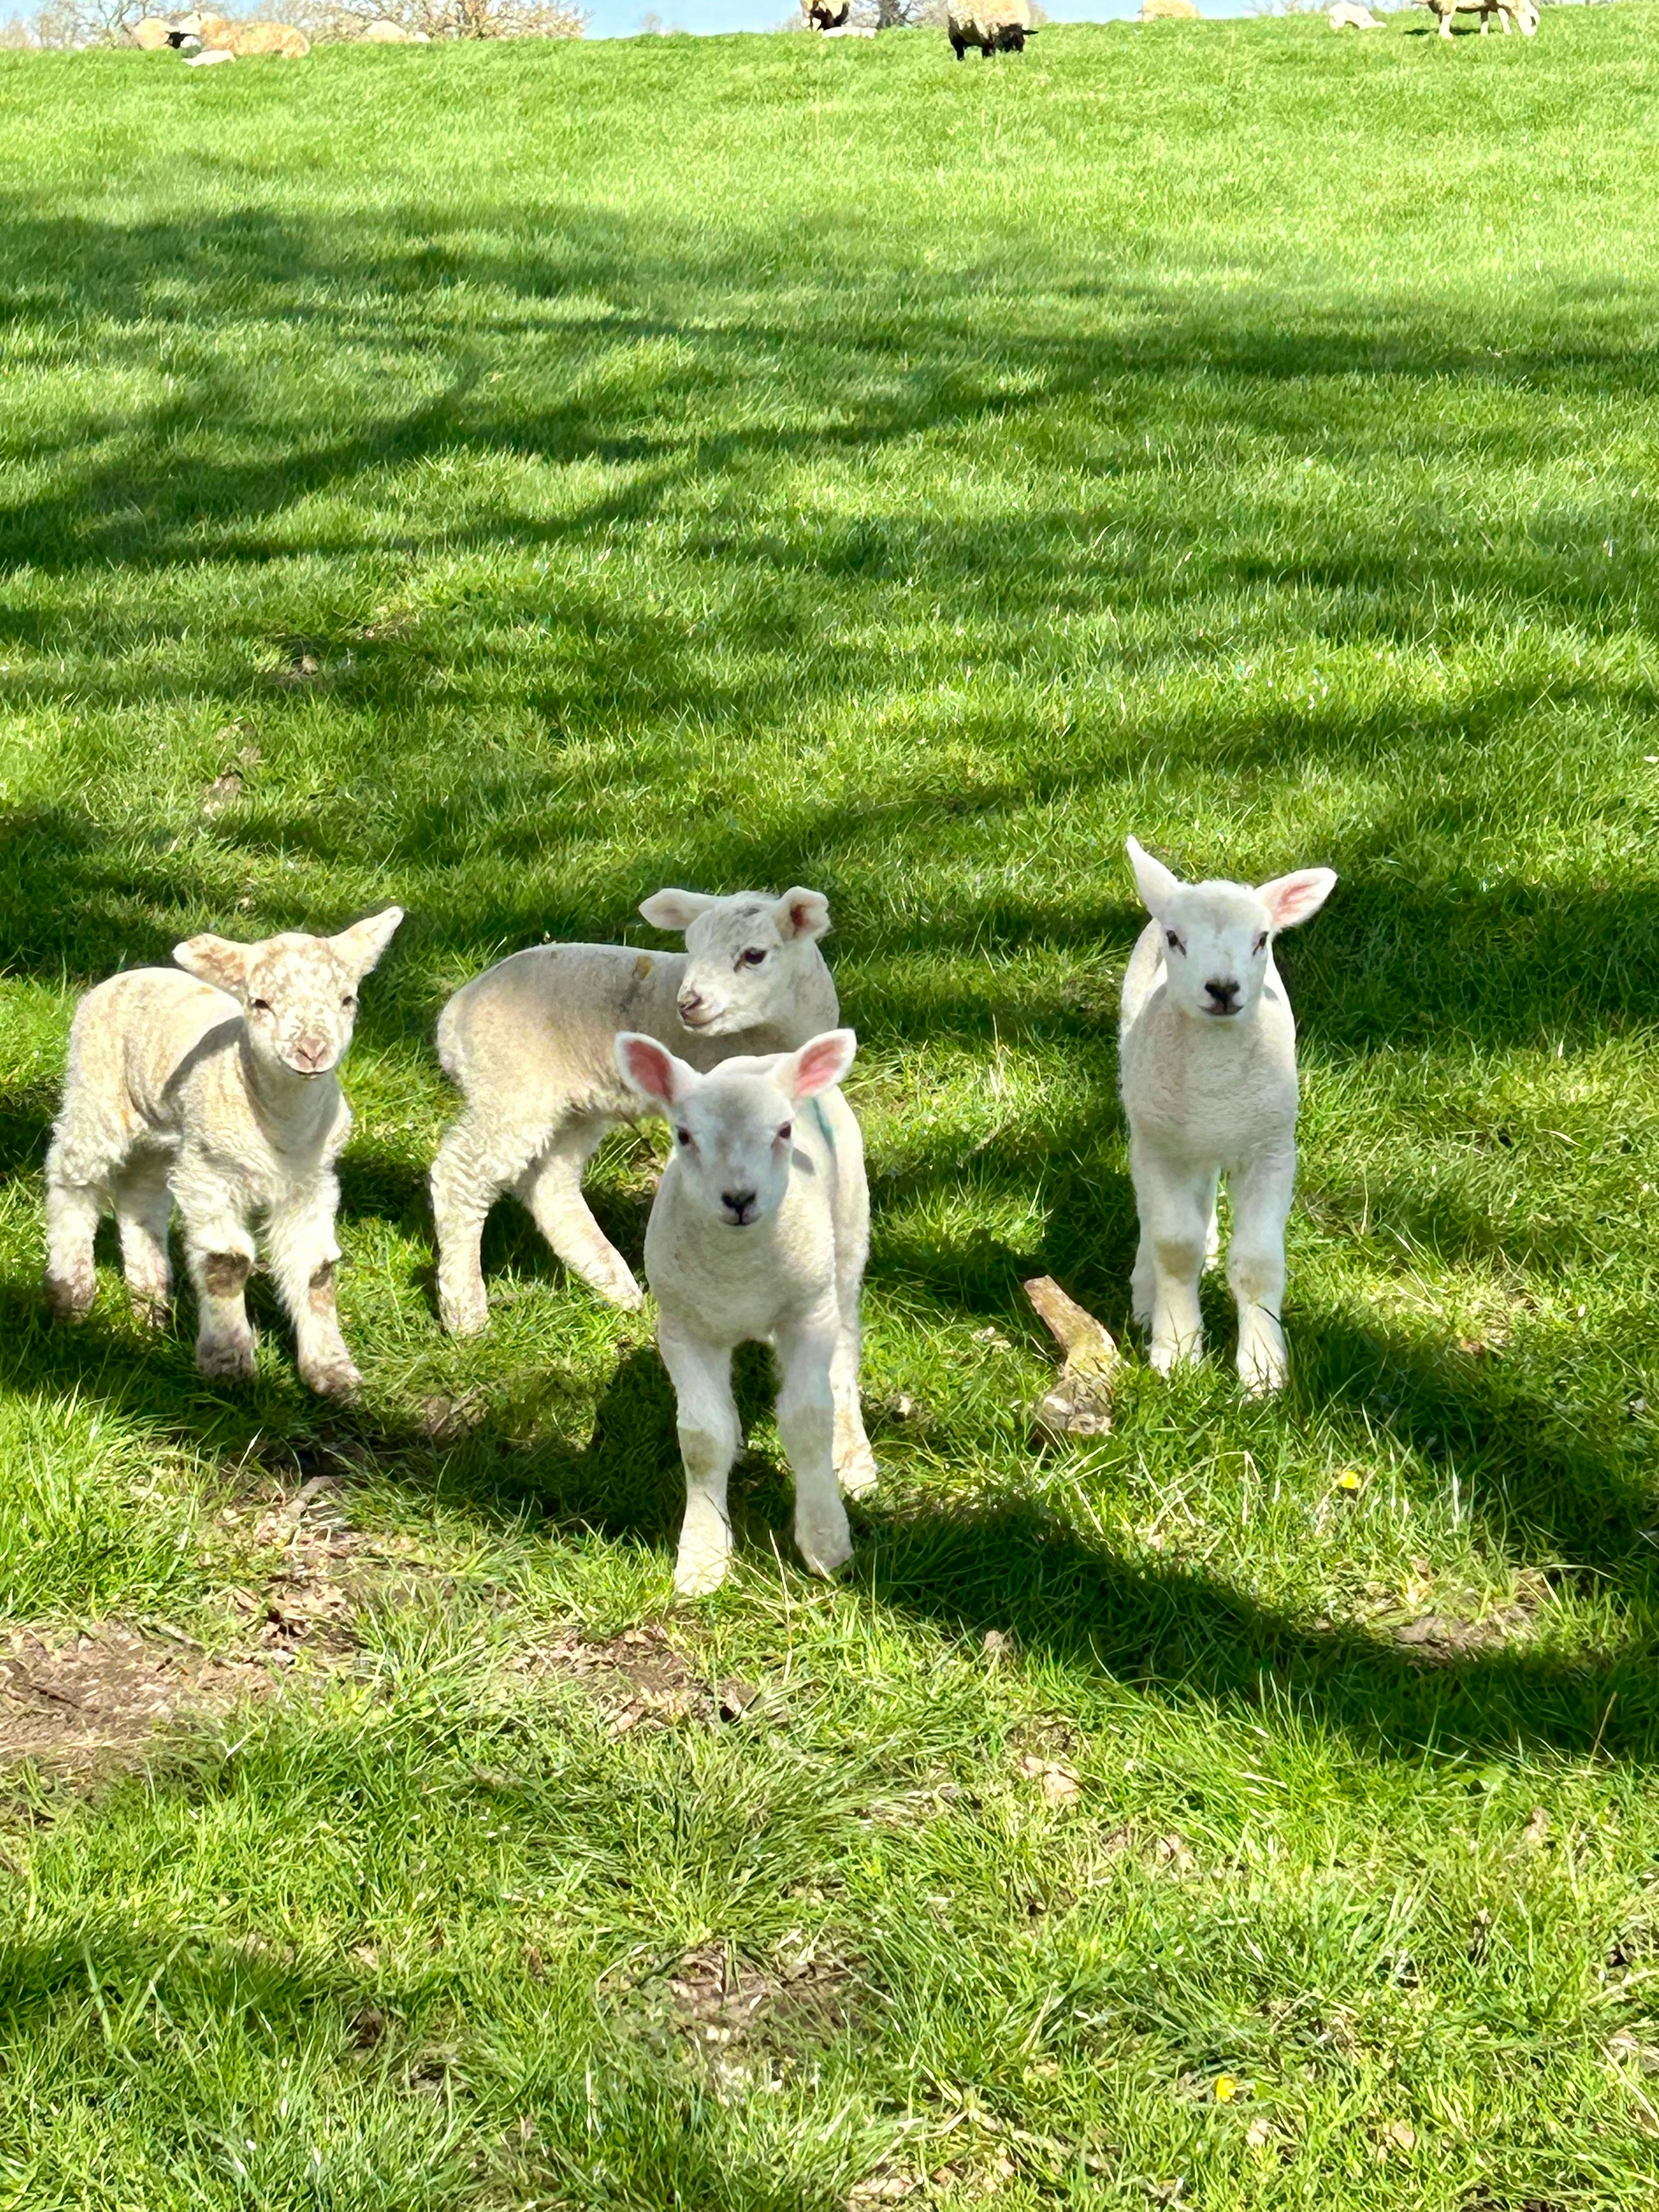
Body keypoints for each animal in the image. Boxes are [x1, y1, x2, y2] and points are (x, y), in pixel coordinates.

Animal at [44, 911, 402, 1395]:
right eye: (261, 1003)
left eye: (347, 1000)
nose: (311, 1051)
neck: (282, 1130)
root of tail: (133, 972)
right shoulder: (210, 1174)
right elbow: (226, 1263)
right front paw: (229, 1365)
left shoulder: (311, 1183)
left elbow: (316, 1271)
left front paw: (332, 1373)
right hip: (95, 1088)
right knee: (73, 1179)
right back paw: (71, 1298)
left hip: (162, 1136)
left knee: (140, 1202)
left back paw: (149, 1309)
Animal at [429, 888, 840, 1334]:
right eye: (691, 948)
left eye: (754, 955)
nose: (688, 1003)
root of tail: (456, 1011)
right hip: (510, 1085)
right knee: (460, 1174)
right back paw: (465, 1312)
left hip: (572, 1107)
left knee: (550, 1186)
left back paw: (617, 1287)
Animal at [614, 1026, 875, 1597]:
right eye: (683, 1135)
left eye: (784, 1130)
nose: (738, 1198)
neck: (743, 1269)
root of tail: (765, 1056)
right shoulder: (683, 1328)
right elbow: (702, 1438)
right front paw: (703, 1556)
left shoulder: (808, 1314)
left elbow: (807, 1421)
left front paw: (826, 1541)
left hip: (847, 1239)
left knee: (846, 1353)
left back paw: (855, 1457)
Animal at [1117, 839, 1335, 1395]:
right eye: (1176, 938)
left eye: (1262, 939)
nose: (1222, 988)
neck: (1215, 1085)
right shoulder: (1163, 1146)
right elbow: (1175, 1247)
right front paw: (1176, 1352)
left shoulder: (1272, 1148)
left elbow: (1258, 1263)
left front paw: (1263, 1371)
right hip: (1147, 1117)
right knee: (1154, 1215)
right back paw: (1145, 1293)